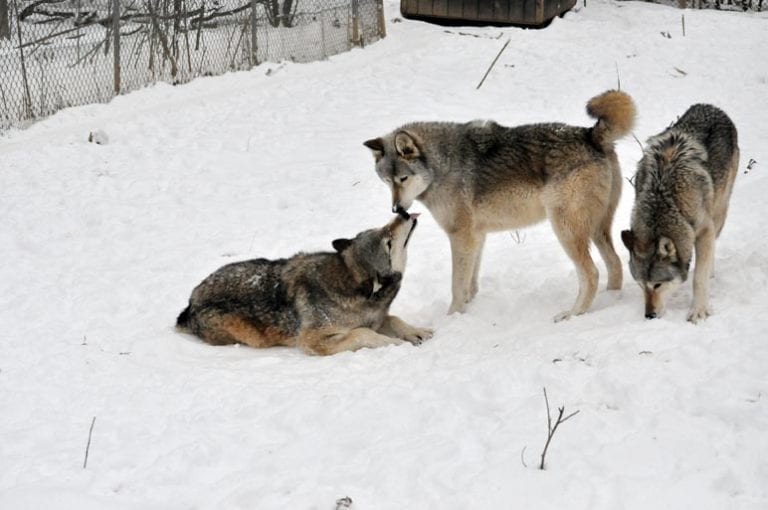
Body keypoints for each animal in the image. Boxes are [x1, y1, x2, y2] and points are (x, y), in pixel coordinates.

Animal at [176, 213, 433, 355]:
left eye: (384, 232)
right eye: (387, 240)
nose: (403, 213)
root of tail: (190, 302)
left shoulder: (378, 317)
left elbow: (394, 319)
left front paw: (416, 332)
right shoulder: (312, 340)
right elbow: (363, 333)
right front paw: (393, 343)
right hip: (246, 333)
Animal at [364, 90, 635, 320]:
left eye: (403, 179)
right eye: (386, 181)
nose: (397, 210)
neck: (441, 166)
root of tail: (590, 134)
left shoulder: (460, 235)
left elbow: (456, 285)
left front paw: (452, 318)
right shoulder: (476, 236)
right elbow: (470, 283)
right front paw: (469, 307)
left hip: (566, 230)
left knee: (592, 274)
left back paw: (572, 314)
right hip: (597, 229)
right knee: (615, 264)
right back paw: (611, 299)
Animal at [621, 104, 739, 323]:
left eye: (658, 285)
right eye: (641, 284)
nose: (649, 315)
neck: (664, 198)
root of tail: (710, 106)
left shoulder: (704, 230)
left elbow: (698, 278)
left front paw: (699, 311)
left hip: (719, 212)